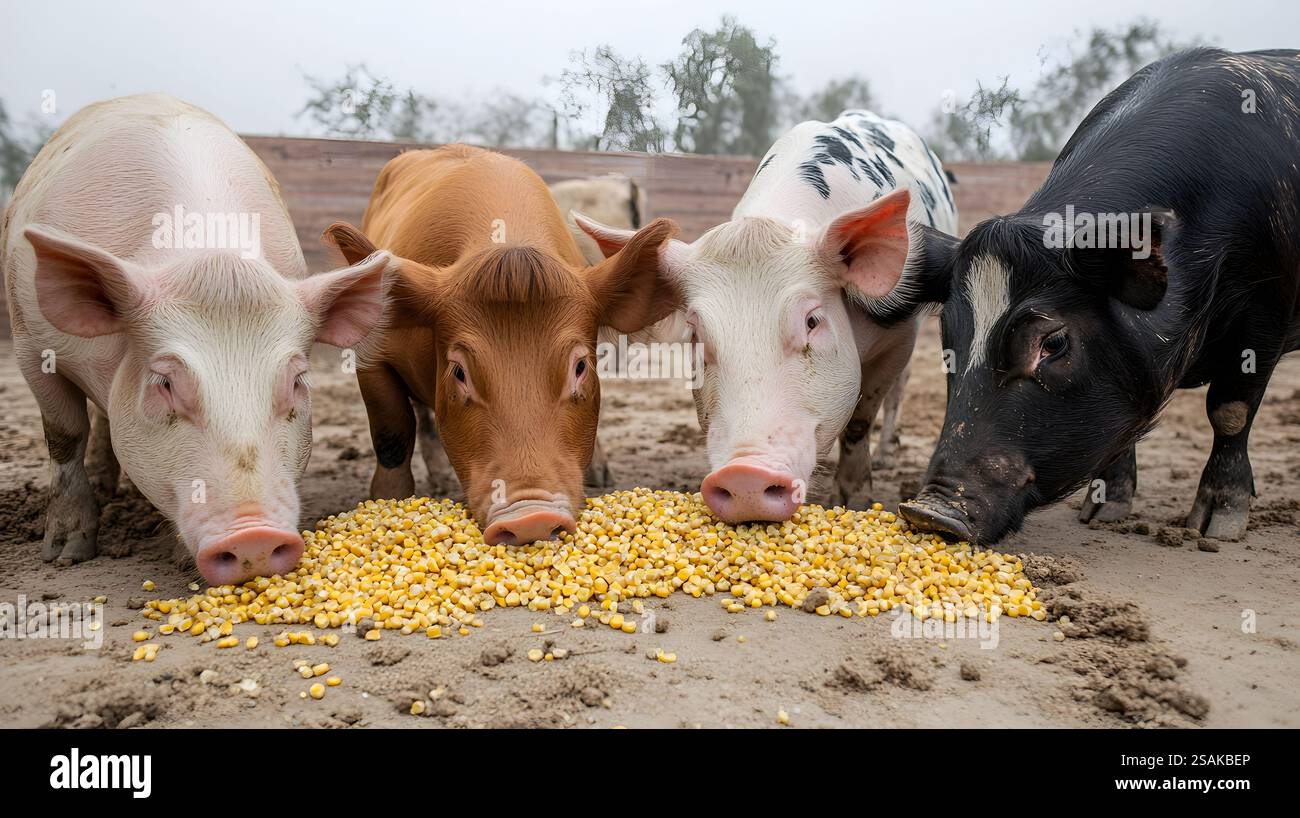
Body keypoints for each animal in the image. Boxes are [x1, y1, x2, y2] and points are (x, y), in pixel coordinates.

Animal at [1, 94, 394, 585]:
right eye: (165, 383)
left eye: (298, 382)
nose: (254, 536)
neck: (206, 252)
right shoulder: (30, 346)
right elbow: (64, 433)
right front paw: (66, 555)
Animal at [323, 145, 678, 546]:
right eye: (459, 372)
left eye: (580, 367)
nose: (532, 516)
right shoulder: (369, 353)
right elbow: (392, 433)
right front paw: (385, 503)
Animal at [577, 110, 957, 522]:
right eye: (696, 335)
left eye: (812, 322)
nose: (745, 473)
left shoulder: (900, 333)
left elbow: (860, 420)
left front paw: (851, 501)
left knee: (900, 389)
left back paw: (889, 457)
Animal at [863, 48, 1300, 545]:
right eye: (947, 342)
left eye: (1053, 343)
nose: (929, 511)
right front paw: (1103, 513)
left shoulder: (1266, 311)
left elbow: (1230, 412)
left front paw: (1216, 527)